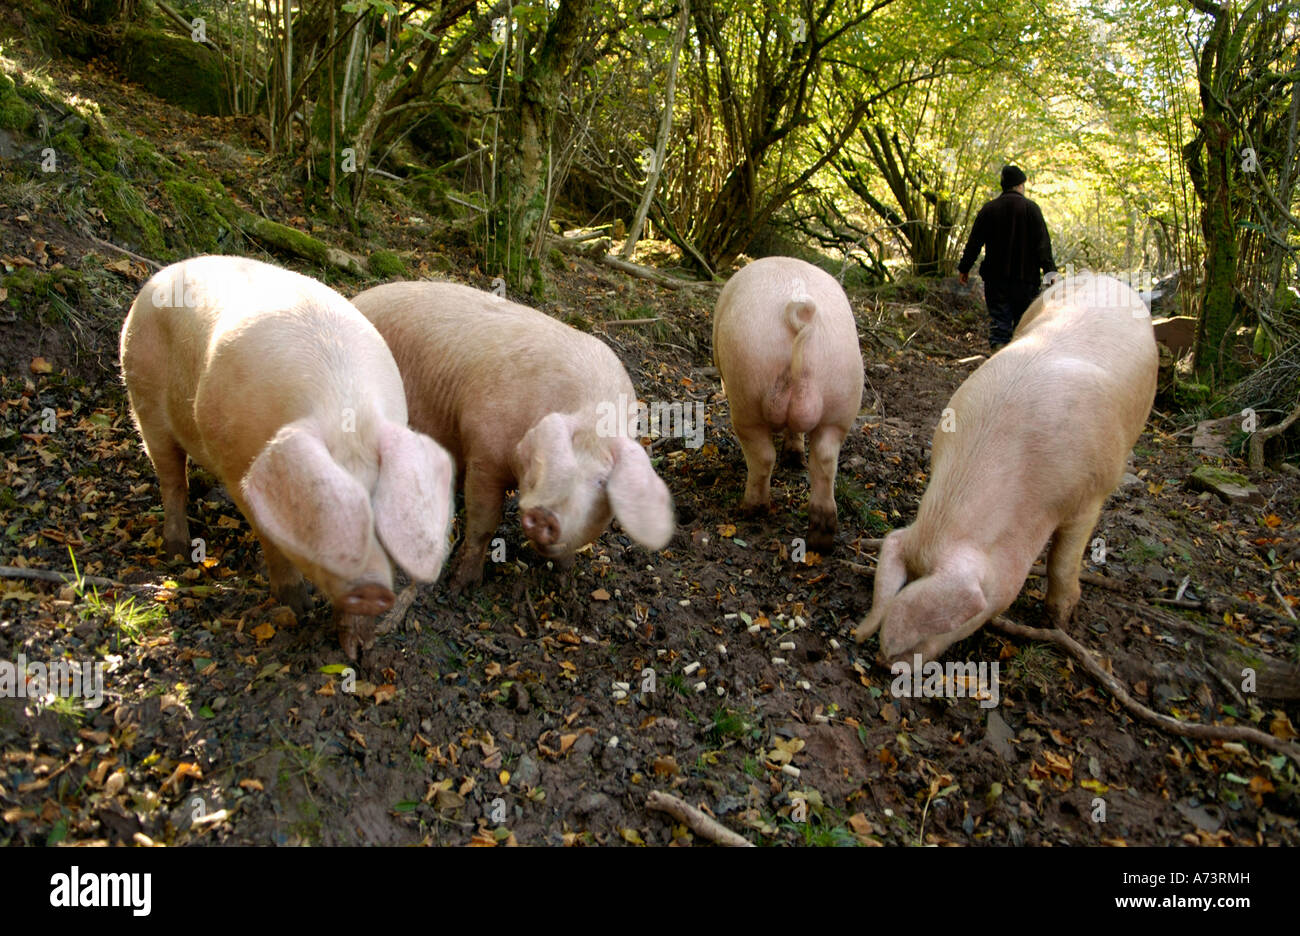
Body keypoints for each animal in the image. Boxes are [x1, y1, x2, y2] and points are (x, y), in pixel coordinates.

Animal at [119, 256, 455, 660]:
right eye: (322, 510)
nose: (372, 591)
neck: (348, 426)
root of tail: (163, 274)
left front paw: (357, 649)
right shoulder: (236, 467)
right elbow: (269, 537)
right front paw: (297, 607)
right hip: (141, 393)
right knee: (171, 479)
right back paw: (177, 552)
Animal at [350, 280, 675, 592]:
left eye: (601, 481)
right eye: (548, 460)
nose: (545, 515)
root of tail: (356, 299)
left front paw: (566, 582)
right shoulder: (485, 454)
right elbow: (483, 524)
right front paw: (460, 587)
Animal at [712, 256, 864, 551]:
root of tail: (802, 319)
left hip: (746, 386)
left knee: (762, 456)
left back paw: (750, 510)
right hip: (842, 396)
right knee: (825, 460)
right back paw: (820, 539)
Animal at [855, 273, 1158, 663]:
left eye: (956, 620)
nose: (889, 664)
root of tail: (1104, 277)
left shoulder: (1090, 496)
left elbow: (1062, 560)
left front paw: (1060, 621)